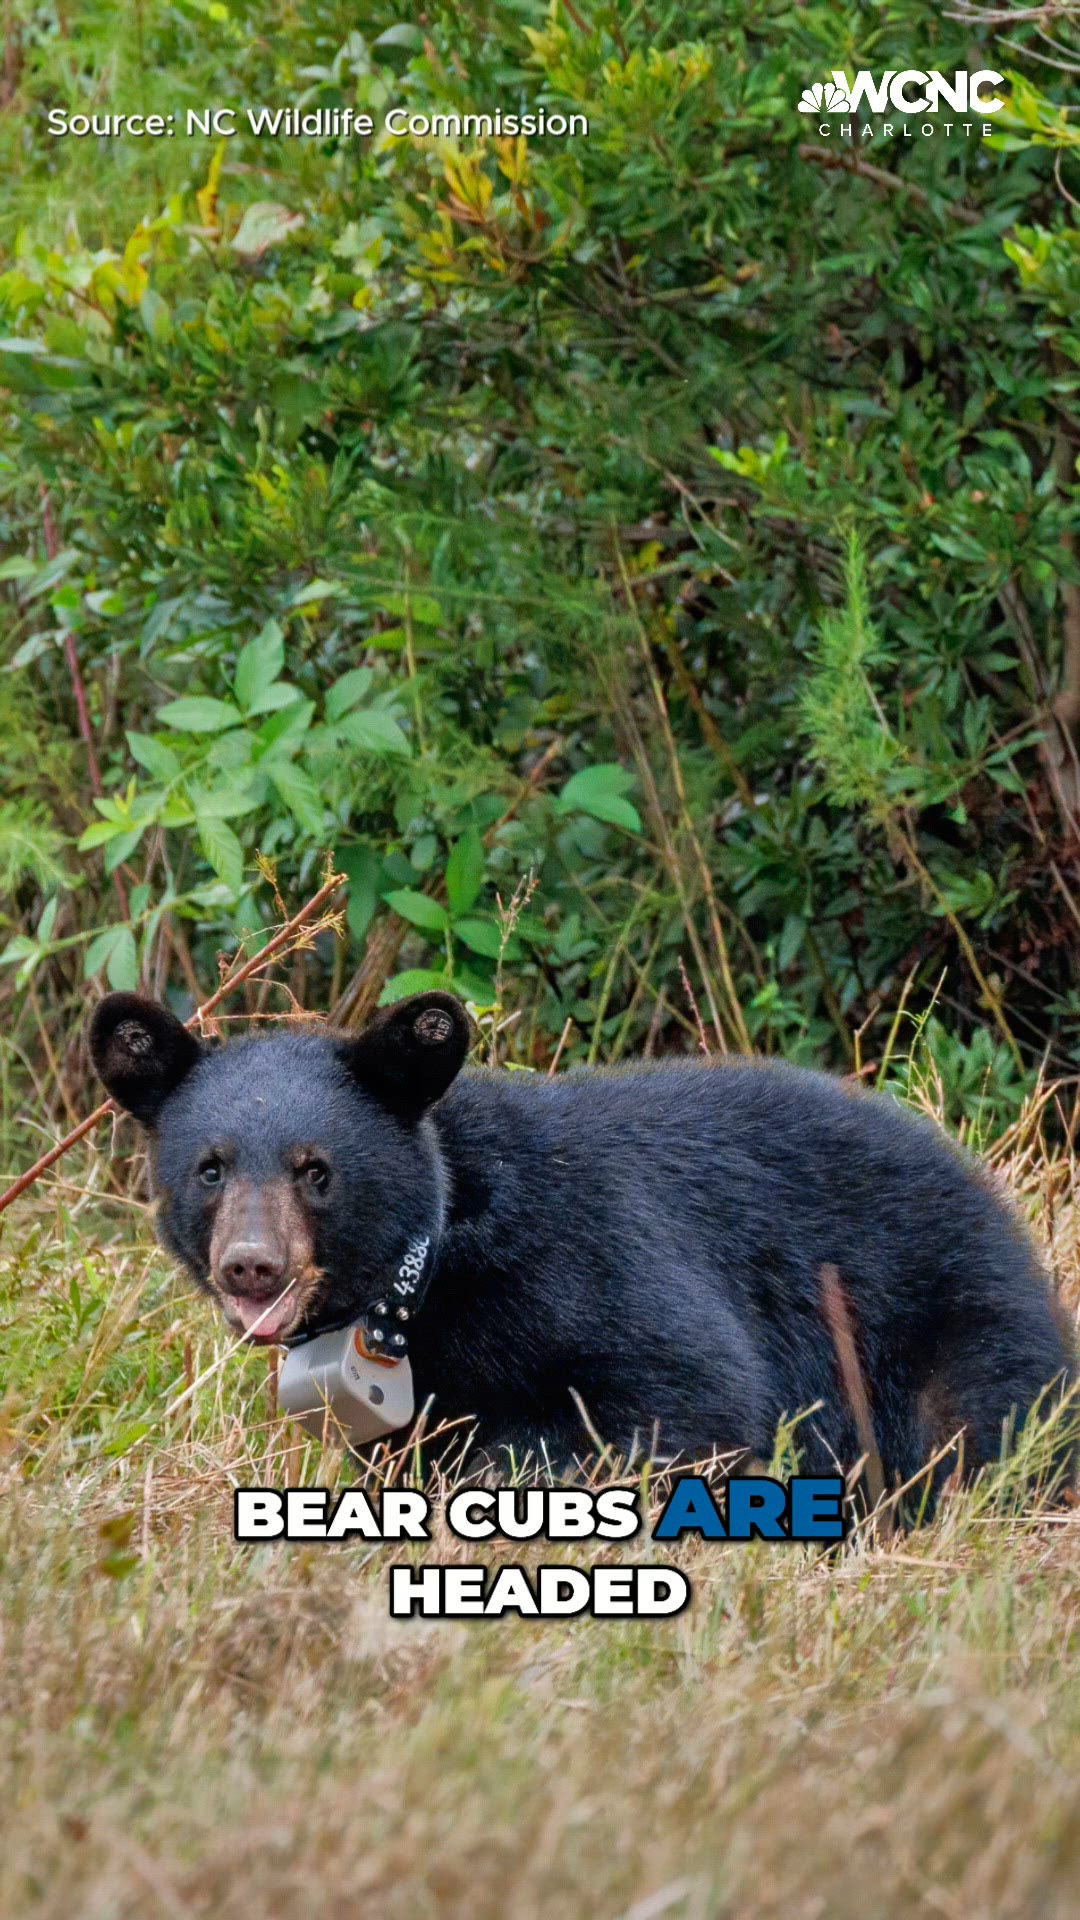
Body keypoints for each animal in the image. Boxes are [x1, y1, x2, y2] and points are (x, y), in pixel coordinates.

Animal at [89, 987, 1075, 1502]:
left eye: (315, 1170)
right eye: (210, 1168)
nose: (252, 1264)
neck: (437, 1265)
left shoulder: (585, 1254)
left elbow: (692, 1390)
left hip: (947, 1313)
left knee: (992, 1423)